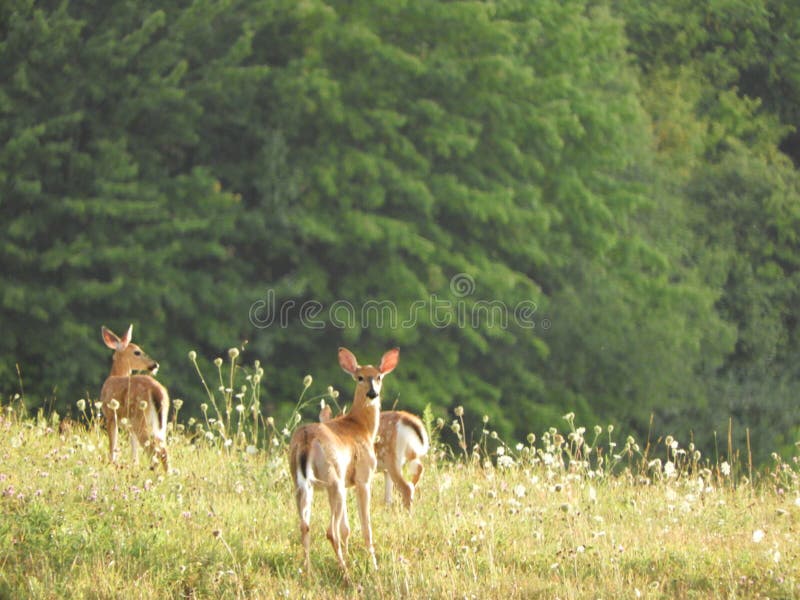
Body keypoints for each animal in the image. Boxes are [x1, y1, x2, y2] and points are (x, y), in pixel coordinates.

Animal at [99, 325, 169, 471]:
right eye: (137, 352)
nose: (155, 364)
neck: (114, 376)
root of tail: (156, 391)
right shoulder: (130, 426)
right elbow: (134, 450)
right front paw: (134, 465)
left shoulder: (111, 416)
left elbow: (113, 444)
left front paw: (112, 463)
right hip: (160, 421)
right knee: (163, 449)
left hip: (140, 418)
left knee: (153, 450)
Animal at [289, 347, 399, 575]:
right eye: (359, 377)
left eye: (379, 376)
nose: (372, 393)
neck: (360, 427)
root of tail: (306, 439)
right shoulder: (363, 478)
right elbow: (366, 528)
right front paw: (372, 564)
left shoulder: (348, 483)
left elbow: (347, 528)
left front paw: (352, 557)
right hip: (333, 480)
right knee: (330, 531)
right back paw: (345, 572)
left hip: (302, 483)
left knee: (305, 525)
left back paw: (308, 570)